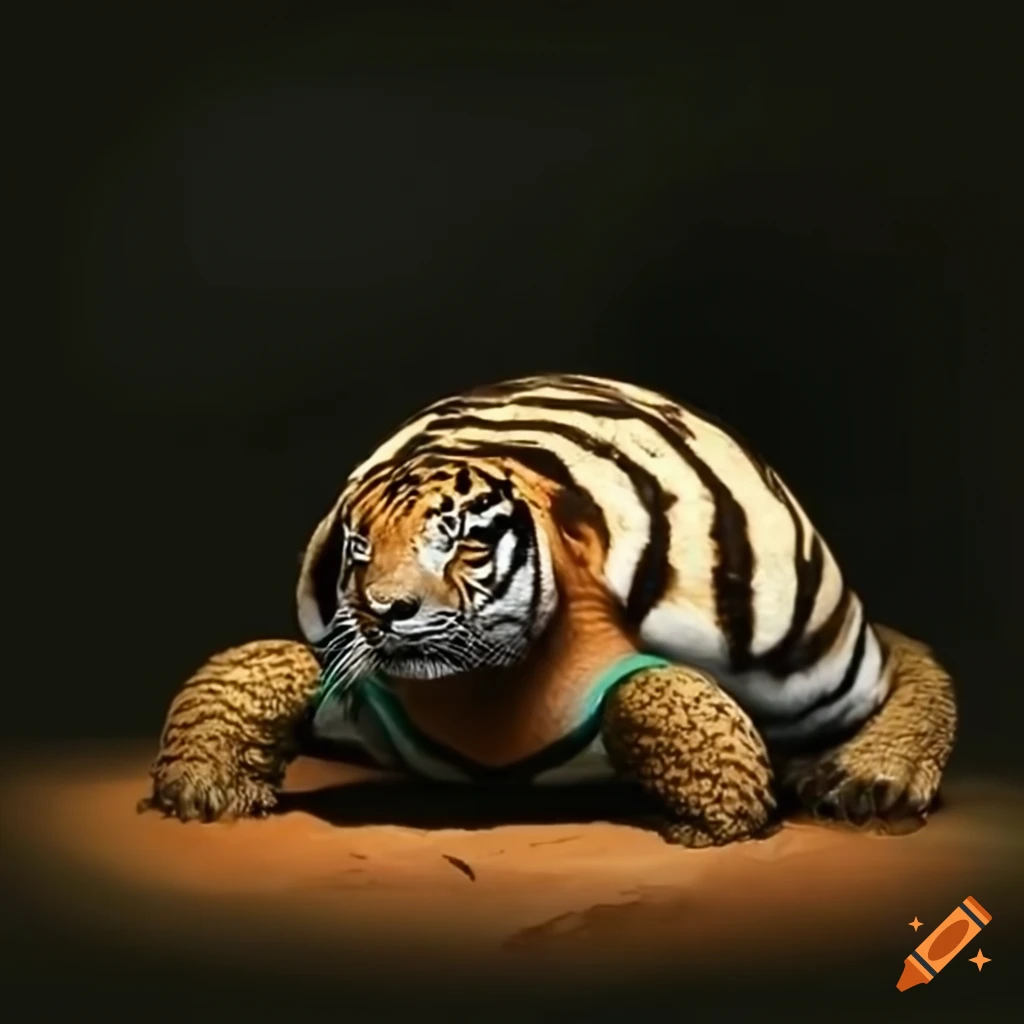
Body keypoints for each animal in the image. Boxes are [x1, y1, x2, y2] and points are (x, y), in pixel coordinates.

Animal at [140, 373, 957, 847]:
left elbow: (655, 694)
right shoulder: (341, 661)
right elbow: (253, 666)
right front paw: (206, 795)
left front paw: (709, 827)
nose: (384, 609)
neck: (479, 686)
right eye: (361, 548)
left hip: (815, 662)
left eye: (462, 543)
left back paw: (867, 786)